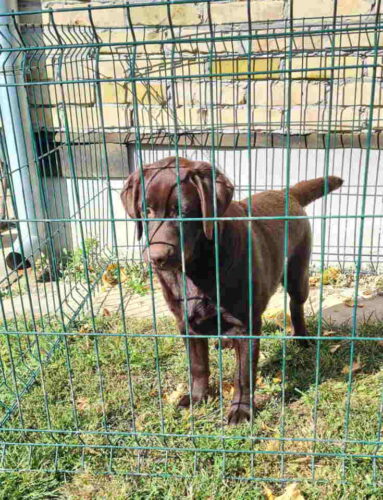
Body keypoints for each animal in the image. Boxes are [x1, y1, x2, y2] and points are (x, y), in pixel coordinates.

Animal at [121, 158, 344, 424]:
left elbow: (243, 375)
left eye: (183, 213)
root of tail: (286, 192)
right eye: (146, 211)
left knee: (296, 304)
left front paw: (240, 410)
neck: (197, 269)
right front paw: (197, 398)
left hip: (297, 272)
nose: (157, 257)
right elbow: (198, 366)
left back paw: (302, 338)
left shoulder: (247, 325)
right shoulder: (186, 323)